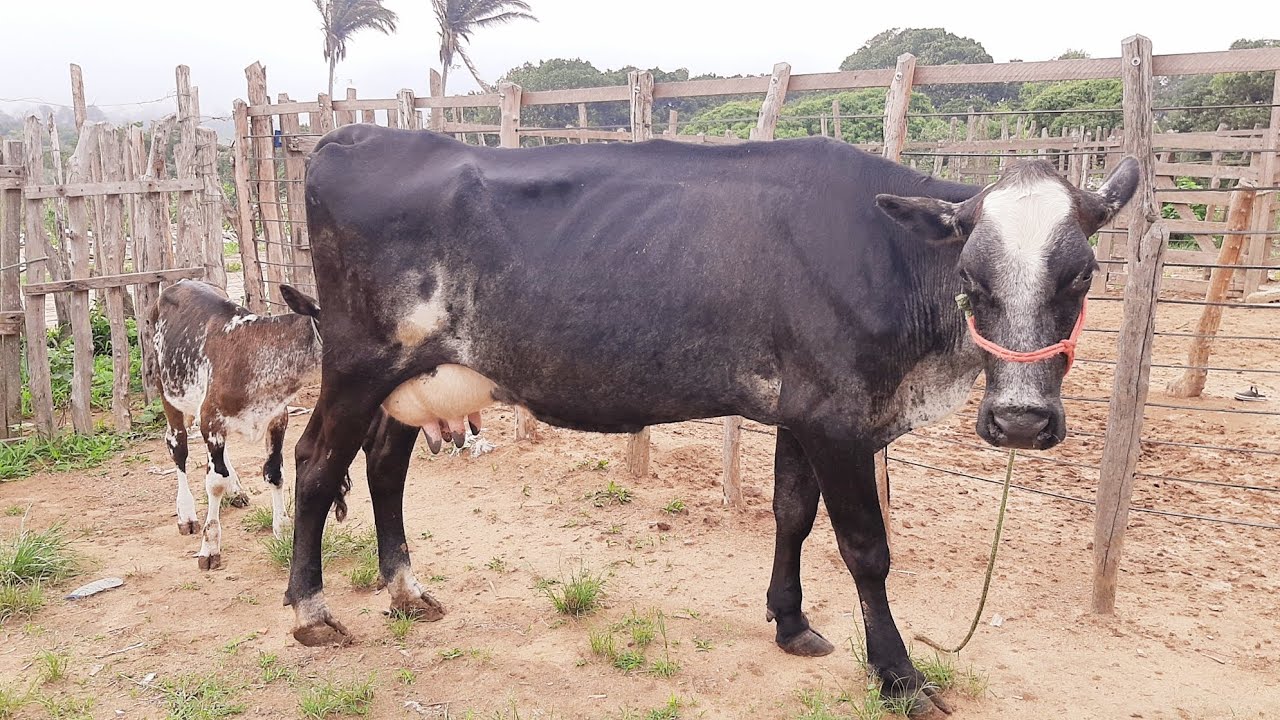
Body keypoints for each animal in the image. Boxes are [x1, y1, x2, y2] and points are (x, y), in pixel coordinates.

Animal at [147, 279, 323, 570]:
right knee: (177, 444)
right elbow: (214, 482)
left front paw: (284, 530)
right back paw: (186, 514)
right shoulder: (211, 417)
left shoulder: (277, 417)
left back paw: (236, 490)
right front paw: (209, 548)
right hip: (166, 389)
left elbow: (275, 473)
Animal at [285, 124, 1139, 712]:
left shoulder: (803, 412)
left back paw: (406, 590)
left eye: (1083, 274)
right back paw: (312, 609)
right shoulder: (839, 419)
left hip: (415, 380)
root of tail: (354, 136)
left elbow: (791, 512)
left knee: (384, 464)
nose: (1021, 421)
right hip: (357, 365)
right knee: (315, 462)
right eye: (971, 276)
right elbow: (866, 550)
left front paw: (790, 622)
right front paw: (899, 677)